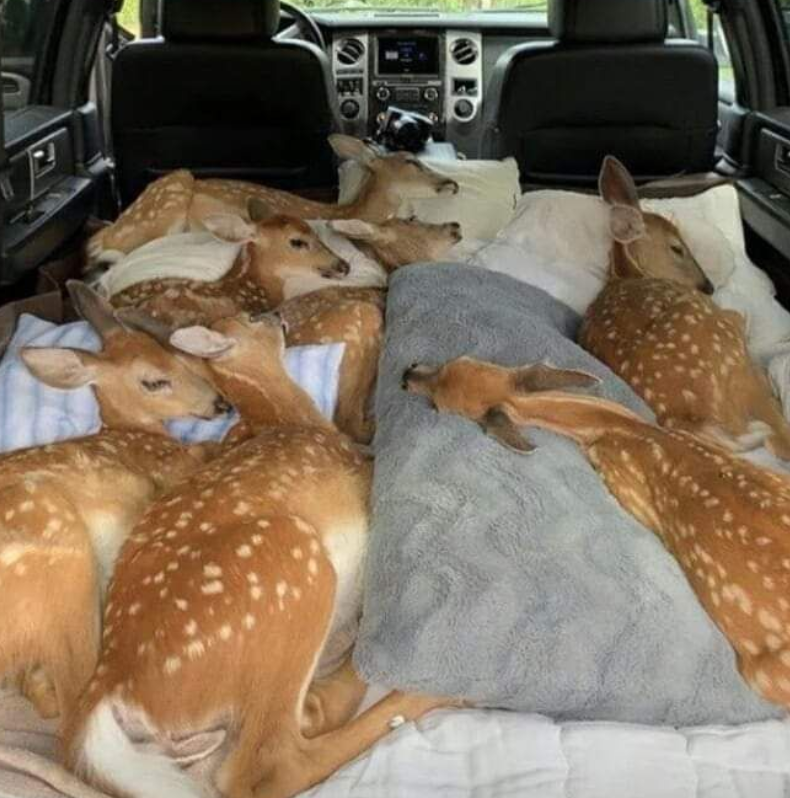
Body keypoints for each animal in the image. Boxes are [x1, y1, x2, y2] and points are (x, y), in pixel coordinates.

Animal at [0, 281, 229, 726]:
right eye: (154, 382)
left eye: (176, 356)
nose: (220, 404)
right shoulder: (173, 463)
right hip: (62, 554)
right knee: (76, 695)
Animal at [64, 312, 458, 798]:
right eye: (252, 318)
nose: (277, 316)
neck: (283, 418)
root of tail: (109, 683)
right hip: (289, 568)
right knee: (272, 763)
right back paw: (427, 688)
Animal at [403, 355, 790, 712]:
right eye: (458, 360)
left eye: (440, 406)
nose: (407, 374)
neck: (622, 428)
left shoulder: (624, 486)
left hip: (766, 674)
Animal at [578, 156, 790, 459]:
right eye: (677, 248)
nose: (708, 286)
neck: (627, 275)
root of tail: (693, 415)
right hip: (730, 351)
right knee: (775, 433)